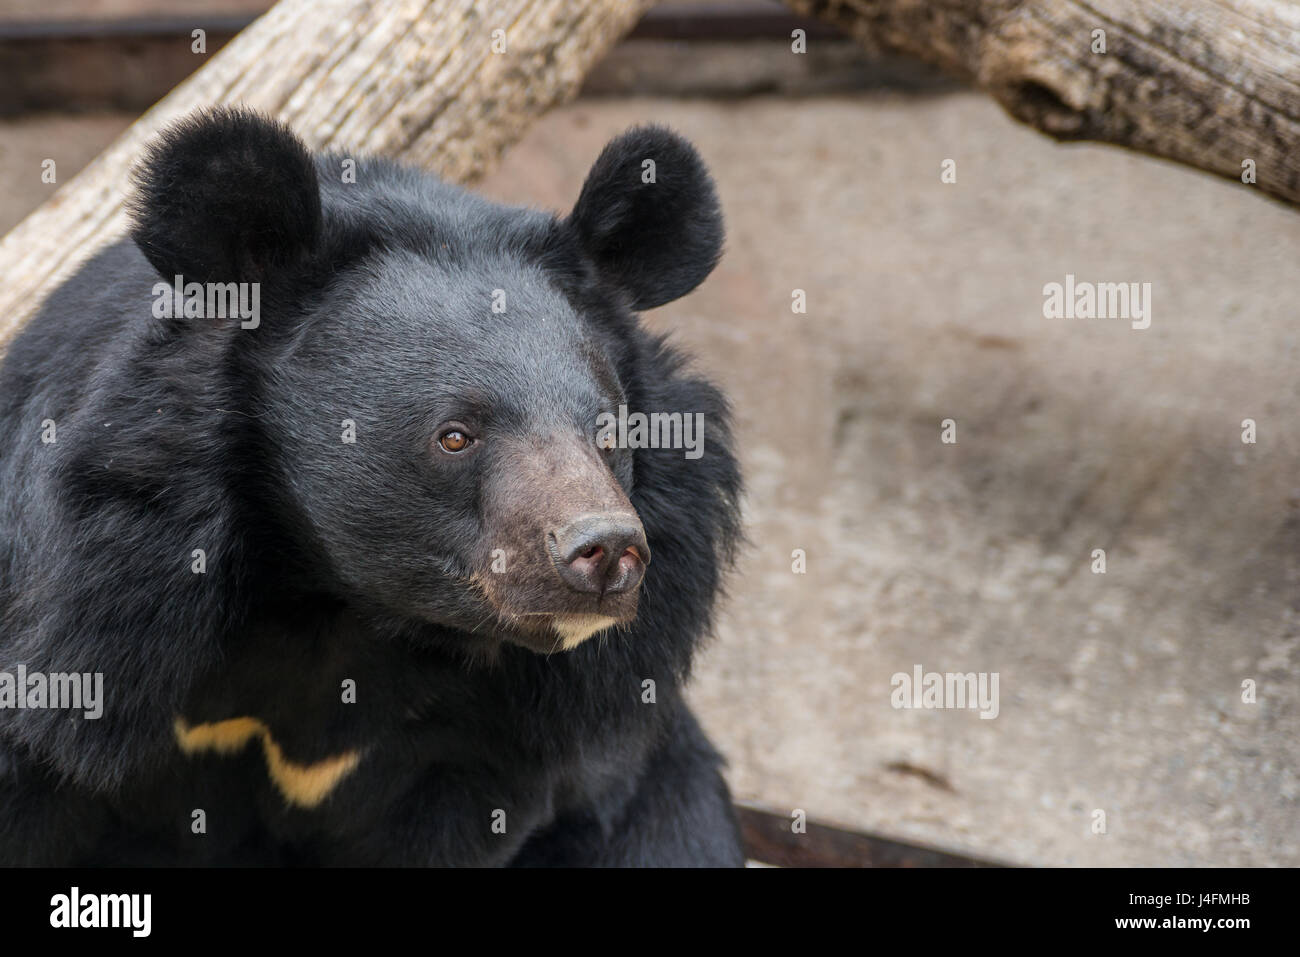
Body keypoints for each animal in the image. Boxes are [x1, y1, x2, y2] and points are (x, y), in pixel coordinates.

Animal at [0, 107, 743, 866]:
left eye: (608, 431)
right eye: (455, 435)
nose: (605, 550)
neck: (330, 601)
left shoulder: (488, 742)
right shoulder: (102, 620)